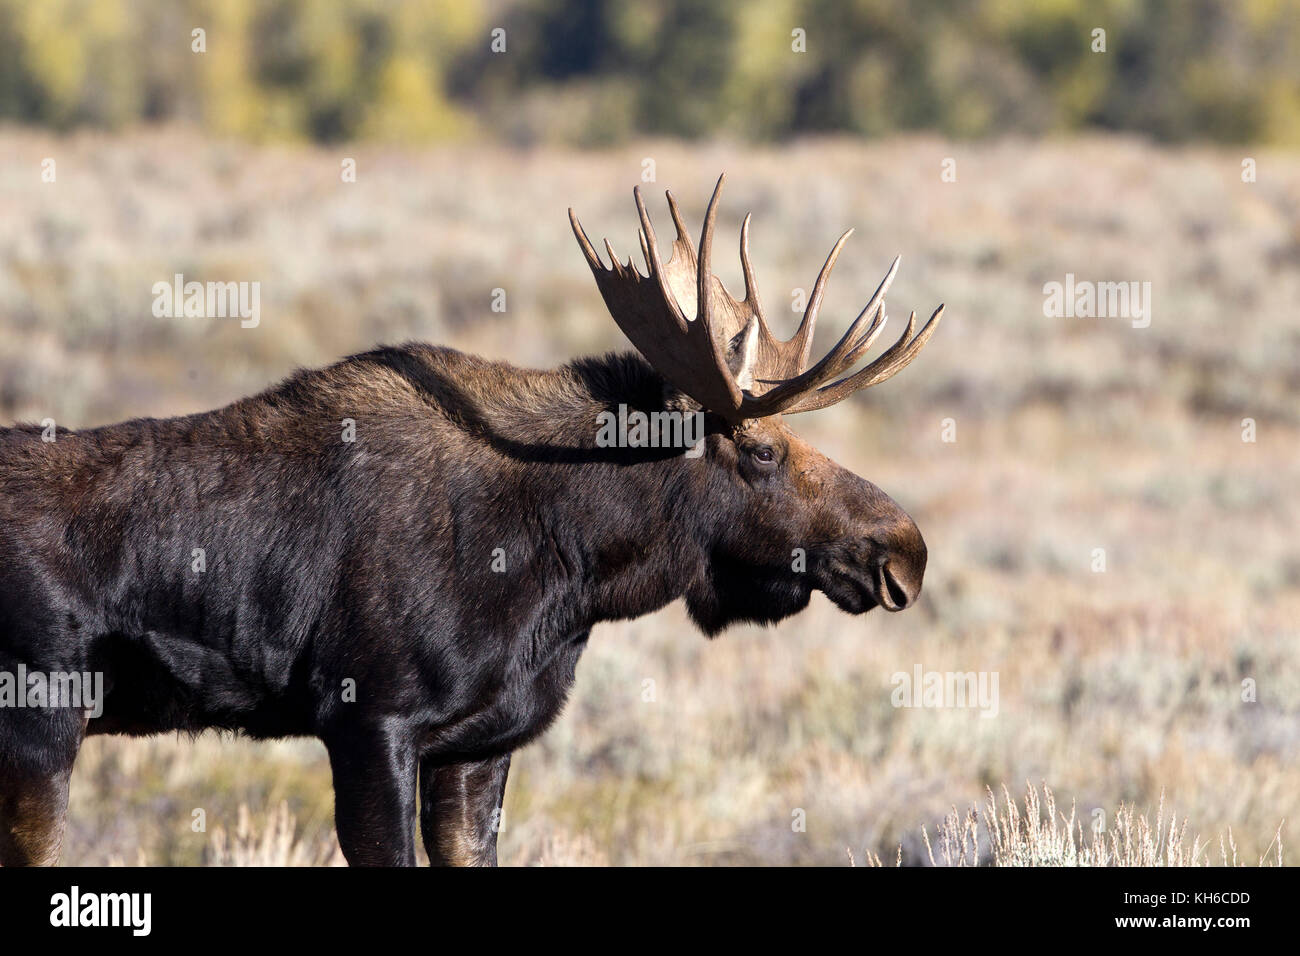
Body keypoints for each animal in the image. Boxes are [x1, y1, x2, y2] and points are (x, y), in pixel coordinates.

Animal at [0, 175, 942, 866]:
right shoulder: (370, 720)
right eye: (762, 451)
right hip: (41, 727)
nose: (905, 551)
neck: (564, 573)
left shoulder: (479, 743)